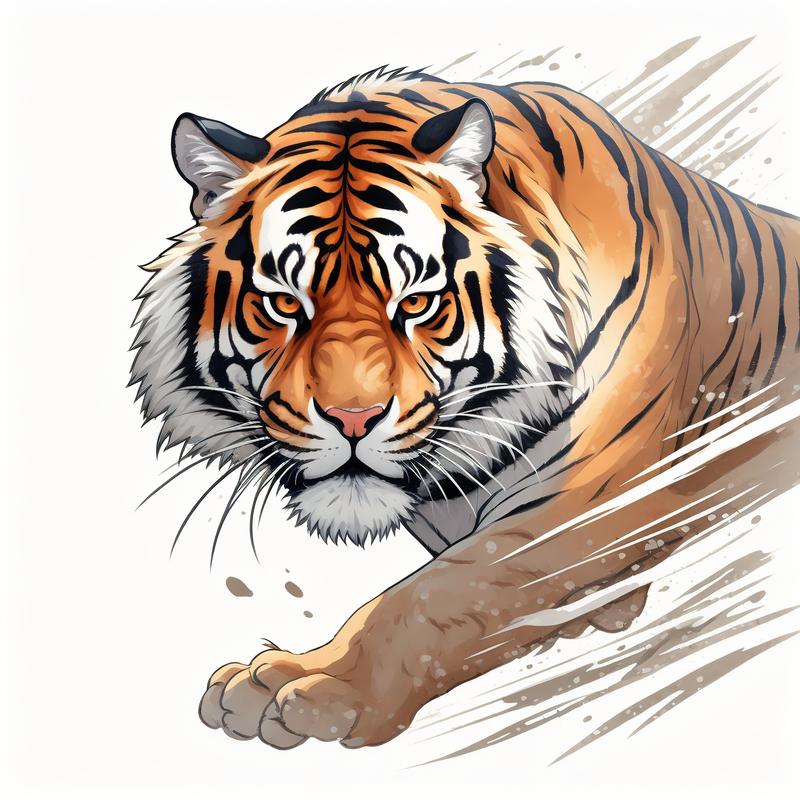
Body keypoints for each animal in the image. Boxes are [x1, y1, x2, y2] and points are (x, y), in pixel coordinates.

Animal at [130, 65, 800, 749]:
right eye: (286, 304)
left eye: (416, 302)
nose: (352, 419)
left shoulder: (584, 503)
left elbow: (425, 600)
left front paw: (314, 688)